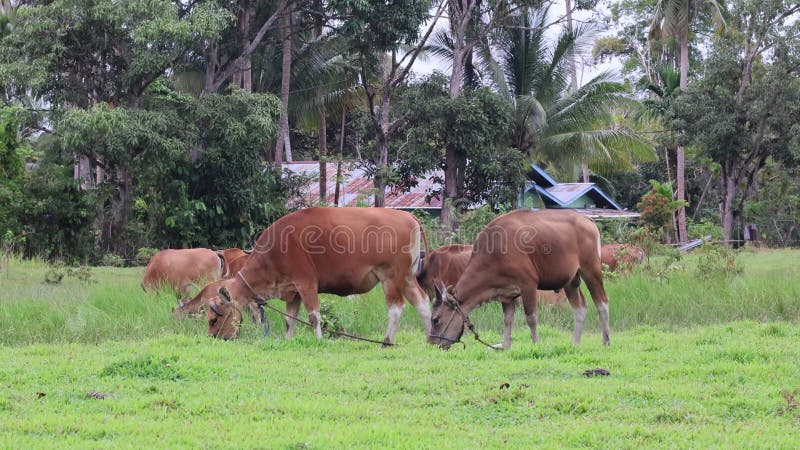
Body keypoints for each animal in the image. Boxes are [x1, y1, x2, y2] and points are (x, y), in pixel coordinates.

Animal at [204, 207, 431, 343]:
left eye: (214, 319)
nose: (214, 338)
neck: (274, 252)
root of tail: (407, 215)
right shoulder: (292, 292)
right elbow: (290, 320)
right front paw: (288, 340)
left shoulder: (306, 283)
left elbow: (314, 316)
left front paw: (320, 340)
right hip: (408, 278)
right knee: (423, 302)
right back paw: (431, 338)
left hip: (391, 277)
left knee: (396, 308)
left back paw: (387, 341)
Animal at [428, 209, 610, 350]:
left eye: (436, 320)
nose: (431, 343)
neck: (495, 252)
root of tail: (588, 221)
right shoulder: (506, 294)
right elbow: (508, 320)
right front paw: (506, 345)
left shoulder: (528, 284)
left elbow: (531, 318)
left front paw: (536, 343)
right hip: (571, 280)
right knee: (580, 308)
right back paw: (575, 343)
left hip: (591, 270)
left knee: (602, 303)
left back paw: (606, 341)